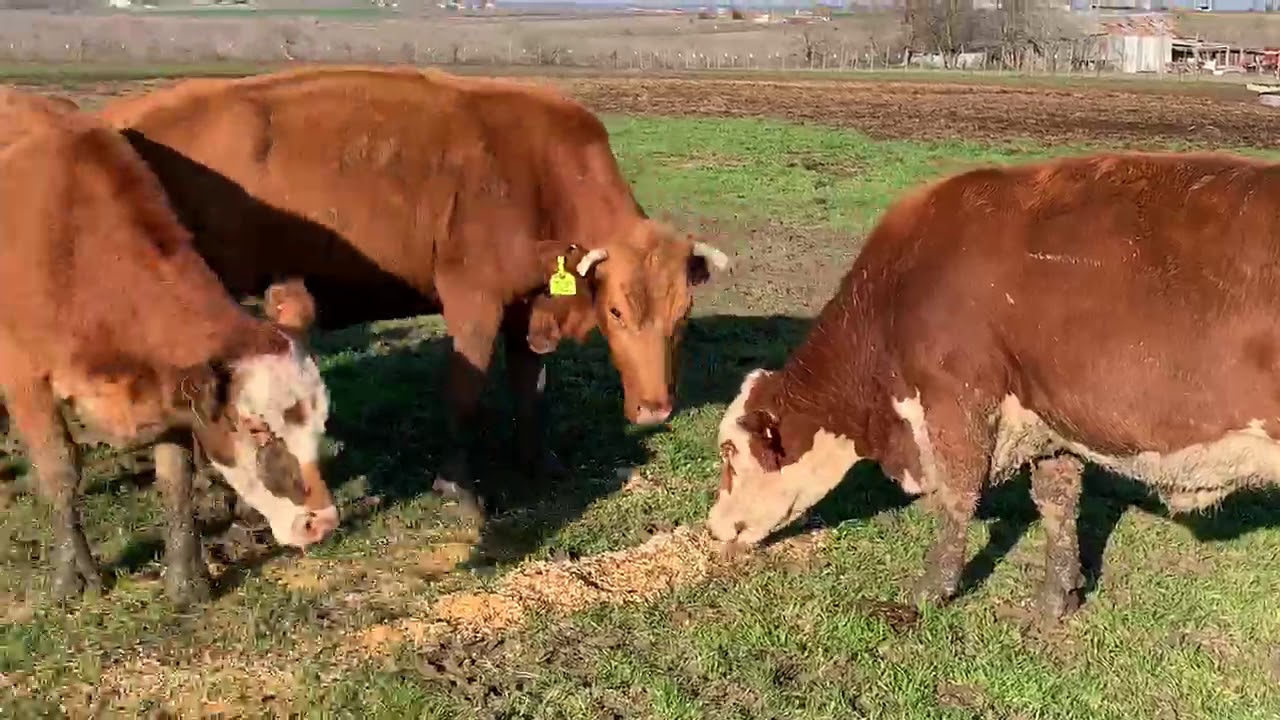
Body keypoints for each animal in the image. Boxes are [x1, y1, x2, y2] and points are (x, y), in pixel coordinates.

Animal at [0, 89, 339, 607]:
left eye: (322, 419)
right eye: (256, 428)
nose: (320, 523)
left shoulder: (169, 389)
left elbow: (176, 477)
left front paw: (187, 579)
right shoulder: (25, 380)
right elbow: (60, 471)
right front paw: (72, 578)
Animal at [95, 65, 730, 511]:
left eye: (683, 315)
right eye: (617, 312)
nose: (655, 409)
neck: (538, 175)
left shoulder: (526, 307)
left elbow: (532, 388)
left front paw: (539, 461)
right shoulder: (473, 302)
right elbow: (464, 392)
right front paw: (458, 486)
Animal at [706, 150, 1280, 625]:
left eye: (730, 452)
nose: (714, 526)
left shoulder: (955, 398)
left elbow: (958, 496)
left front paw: (930, 590)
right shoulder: (1048, 415)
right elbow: (1057, 502)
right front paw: (1056, 599)